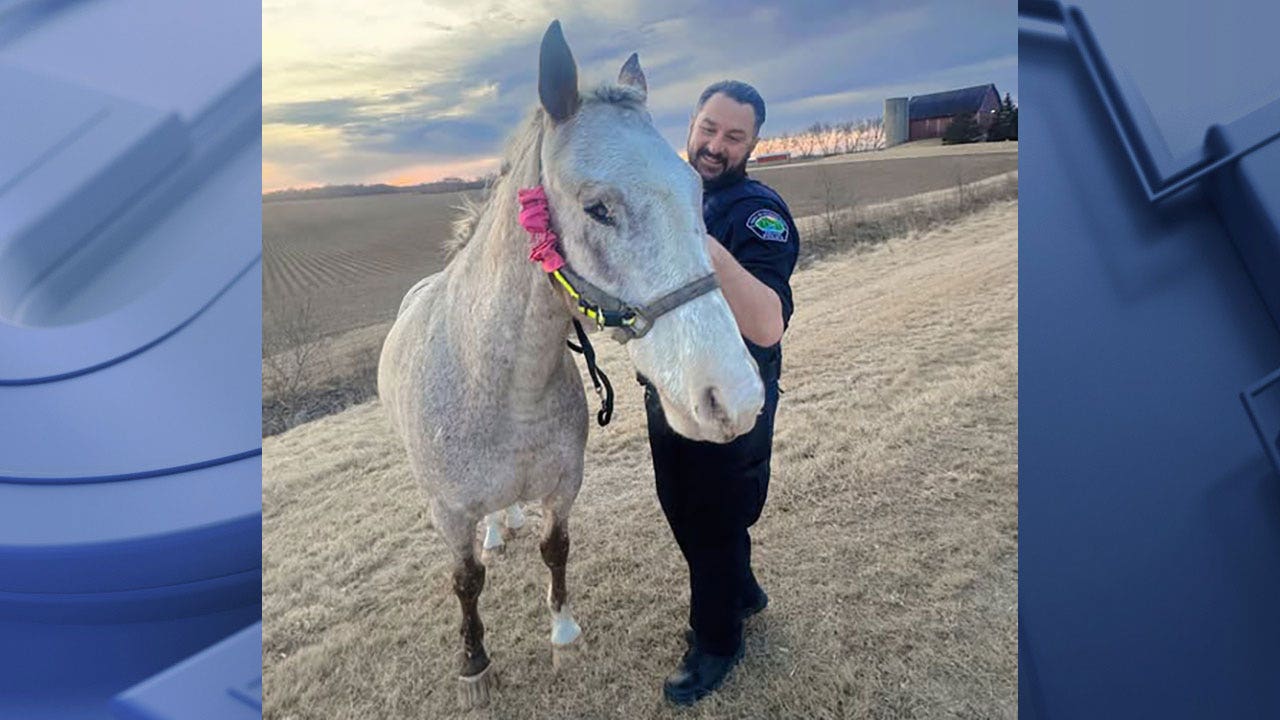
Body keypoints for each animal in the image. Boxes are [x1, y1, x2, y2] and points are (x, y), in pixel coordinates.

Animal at [377, 20, 765, 708]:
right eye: (597, 209)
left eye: (696, 191)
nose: (735, 397)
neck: (503, 389)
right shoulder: (448, 515)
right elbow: (466, 582)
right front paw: (474, 666)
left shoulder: (563, 488)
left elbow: (555, 548)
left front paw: (562, 634)